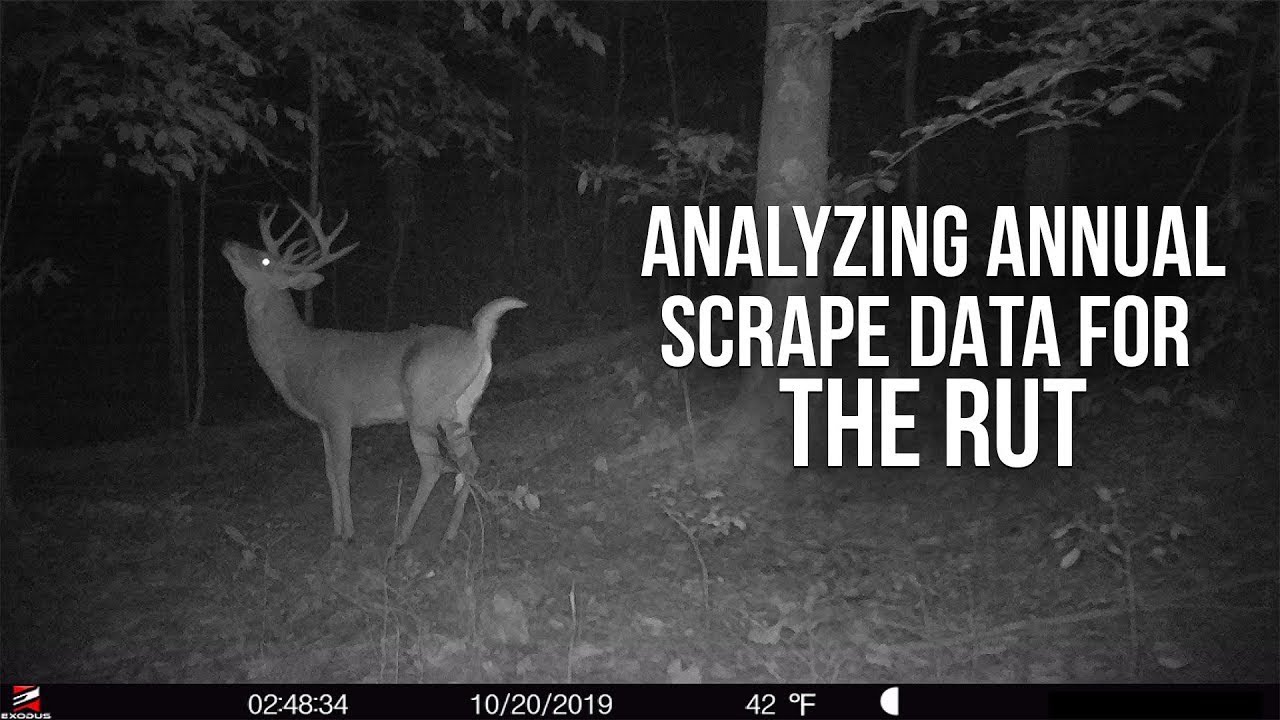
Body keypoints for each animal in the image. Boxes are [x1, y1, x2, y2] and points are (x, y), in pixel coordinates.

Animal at [222, 200, 525, 551]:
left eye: (264, 258)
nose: (228, 243)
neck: (294, 358)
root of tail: (478, 338)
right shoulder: (322, 423)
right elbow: (328, 472)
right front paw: (335, 531)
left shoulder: (338, 411)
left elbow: (342, 471)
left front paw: (348, 534)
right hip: (458, 408)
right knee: (468, 460)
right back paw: (450, 532)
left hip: (422, 405)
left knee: (435, 464)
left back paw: (402, 536)